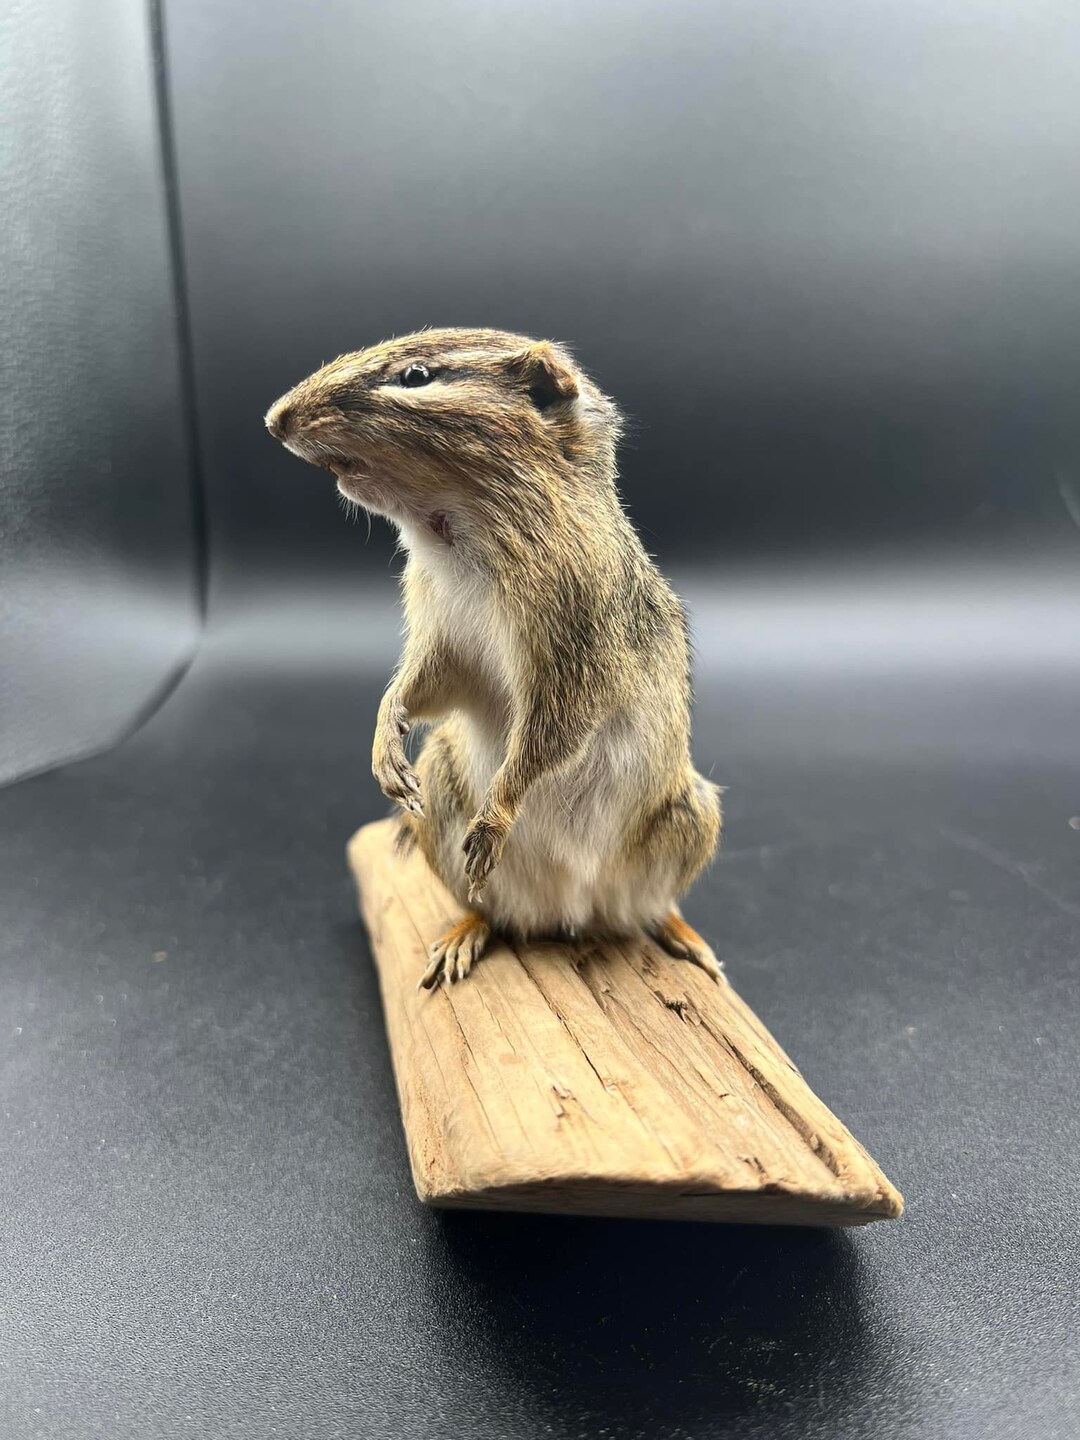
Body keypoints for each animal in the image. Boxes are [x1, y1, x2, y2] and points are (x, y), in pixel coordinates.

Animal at [266, 328, 722, 988]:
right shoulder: (444, 641)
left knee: (647, 908)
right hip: (441, 787)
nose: (276, 419)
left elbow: (548, 736)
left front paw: (497, 816)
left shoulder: (574, 656)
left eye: (416, 375)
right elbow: (415, 687)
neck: (460, 537)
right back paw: (464, 933)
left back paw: (682, 934)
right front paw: (383, 738)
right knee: (489, 910)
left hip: (689, 818)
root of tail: (567, 912)